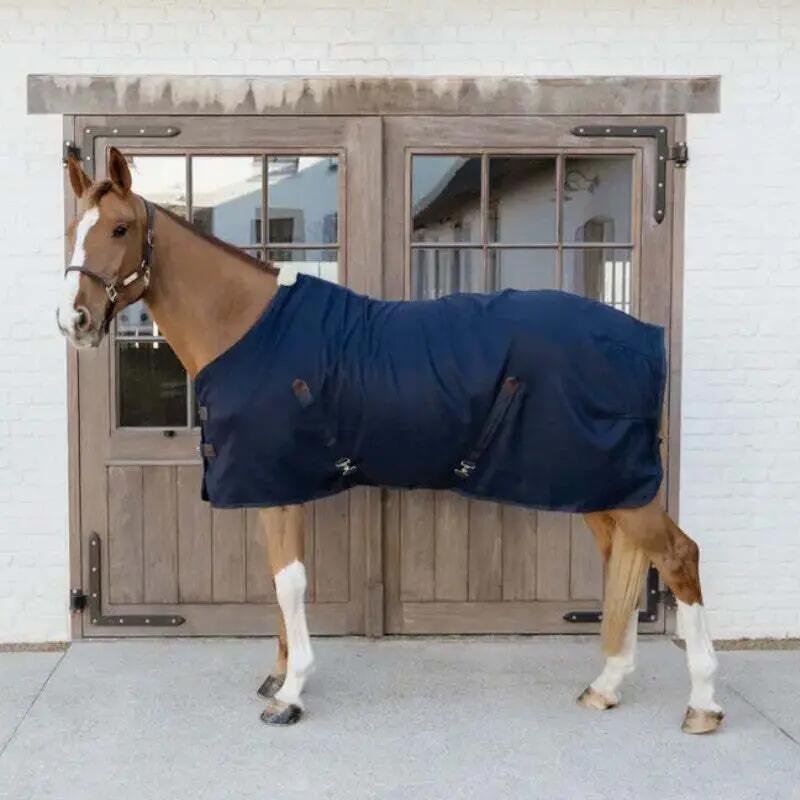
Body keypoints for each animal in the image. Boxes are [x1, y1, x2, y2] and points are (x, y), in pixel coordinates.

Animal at [57, 147, 723, 734]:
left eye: (120, 228)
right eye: (71, 229)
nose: (75, 320)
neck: (247, 328)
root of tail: (640, 338)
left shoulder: (278, 486)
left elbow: (289, 583)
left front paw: (290, 695)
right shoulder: (272, 485)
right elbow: (277, 581)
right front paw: (277, 677)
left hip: (623, 486)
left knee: (677, 556)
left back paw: (703, 705)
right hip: (599, 487)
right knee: (623, 564)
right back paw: (605, 686)